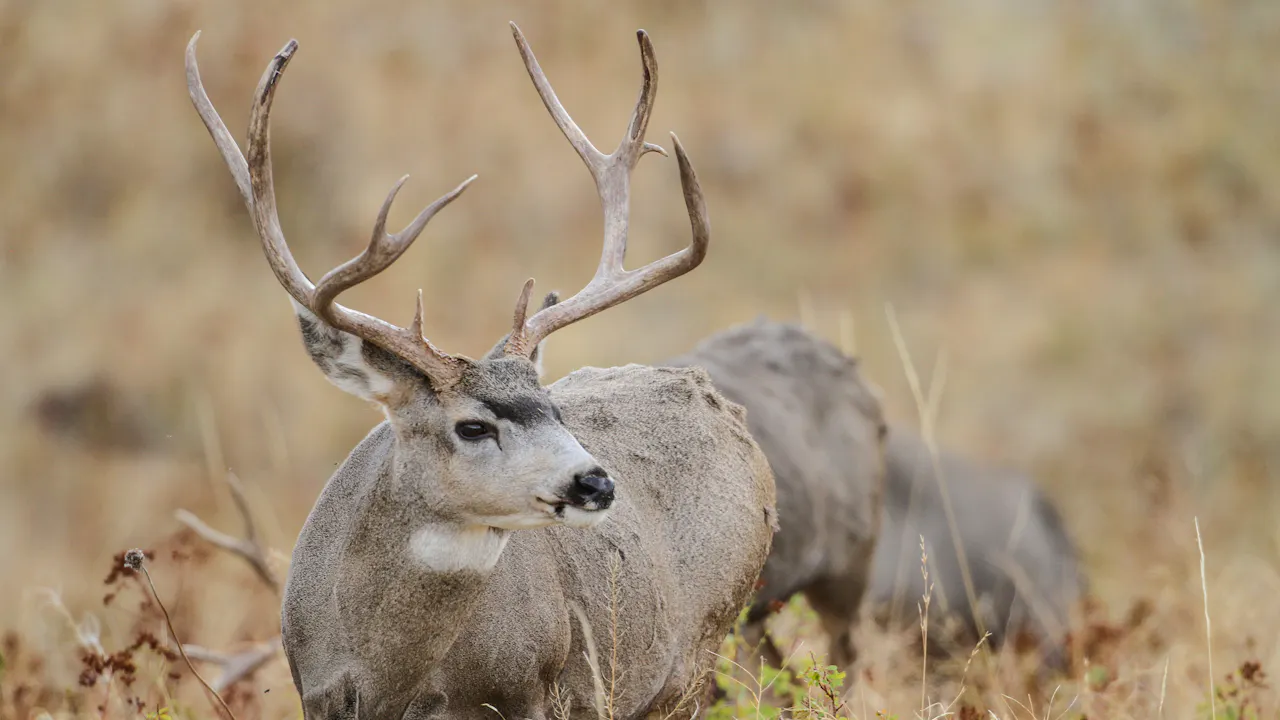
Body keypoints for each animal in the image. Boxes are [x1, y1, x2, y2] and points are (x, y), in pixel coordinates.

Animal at [185, 23, 778, 720]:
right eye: (472, 427)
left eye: (554, 409)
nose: (596, 482)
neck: (388, 676)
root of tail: (723, 406)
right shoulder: (315, 691)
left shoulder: (533, 692)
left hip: (698, 652)